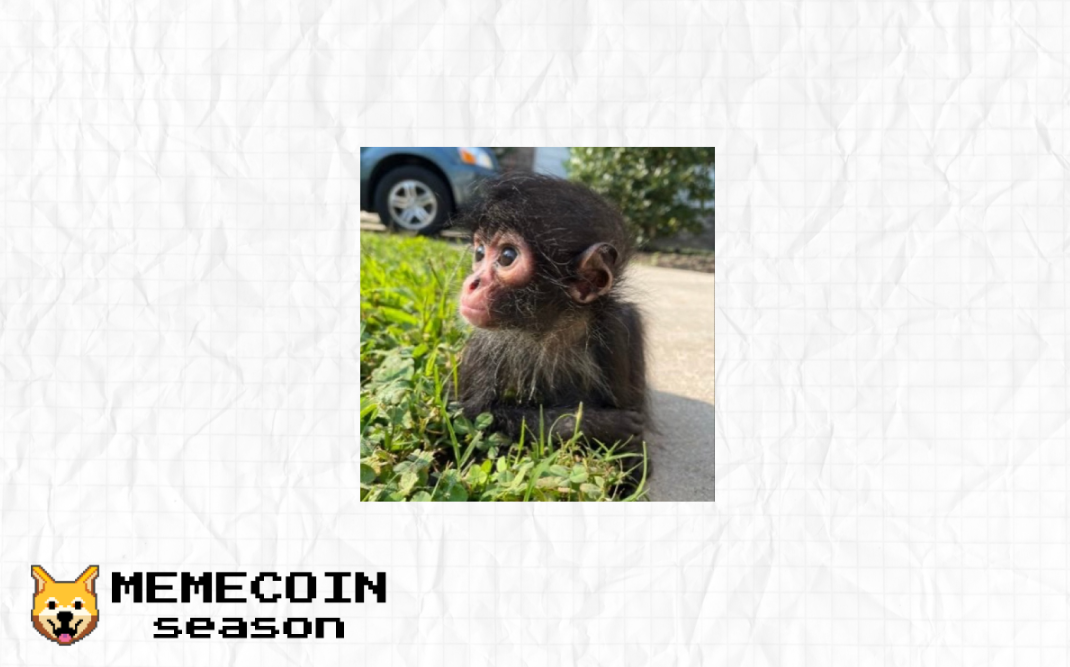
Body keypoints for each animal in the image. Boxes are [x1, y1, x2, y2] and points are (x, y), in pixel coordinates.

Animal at [453, 174, 648, 473]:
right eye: (479, 252)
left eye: (507, 257)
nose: (471, 283)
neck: (553, 329)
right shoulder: (482, 344)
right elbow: (471, 416)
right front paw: (595, 424)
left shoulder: (620, 325)